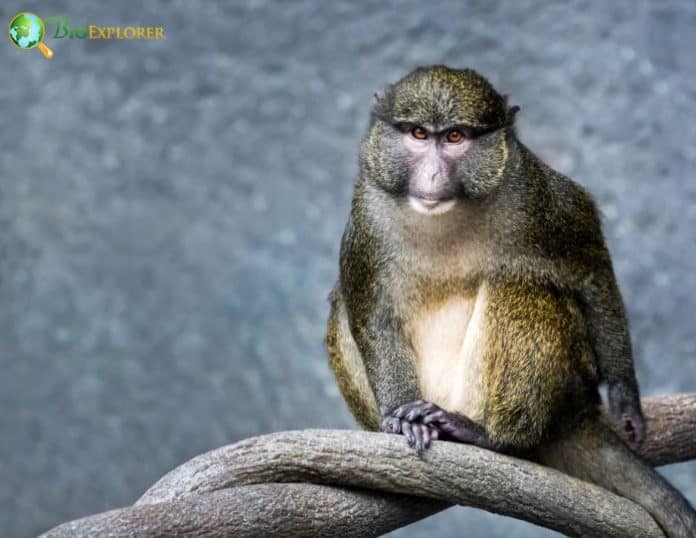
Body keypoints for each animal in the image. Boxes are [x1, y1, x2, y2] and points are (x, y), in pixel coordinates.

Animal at [326, 65, 696, 536]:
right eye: (417, 134)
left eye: (455, 137)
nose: (431, 176)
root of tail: (577, 414)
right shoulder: (367, 219)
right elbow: (371, 316)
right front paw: (400, 416)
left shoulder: (535, 195)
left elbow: (592, 271)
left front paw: (626, 397)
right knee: (342, 306)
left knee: (518, 285)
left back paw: (491, 437)